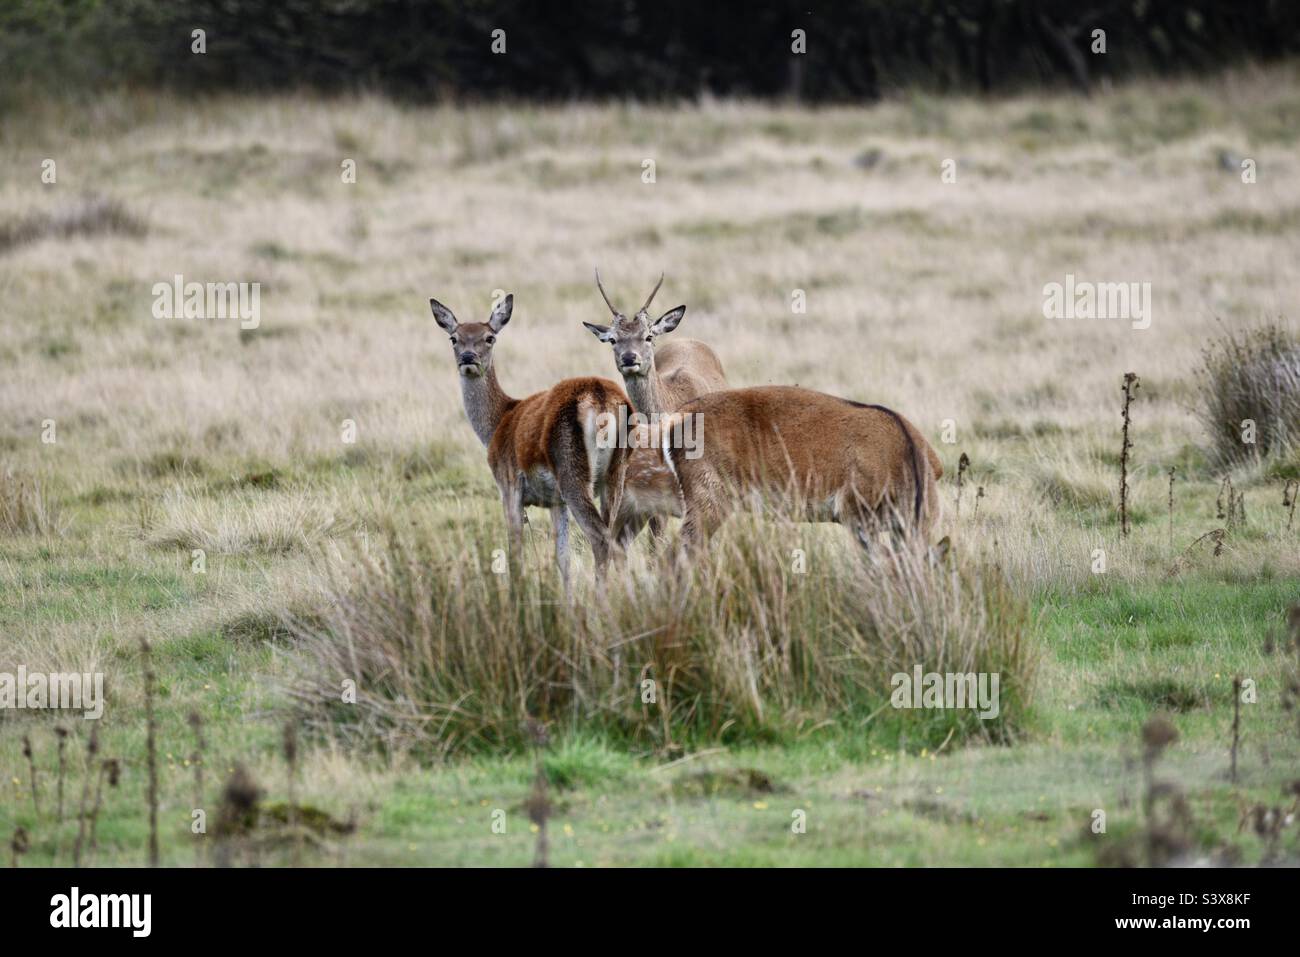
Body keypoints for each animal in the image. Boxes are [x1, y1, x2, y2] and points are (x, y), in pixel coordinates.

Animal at [429, 293, 630, 587]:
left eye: (490, 337)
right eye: (454, 338)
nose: (468, 357)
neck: (498, 421)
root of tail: (601, 396)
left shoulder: (508, 483)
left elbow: (515, 554)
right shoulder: (555, 501)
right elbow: (563, 559)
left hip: (572, 471)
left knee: (601, 538)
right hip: (615, 473)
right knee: (618, 540)